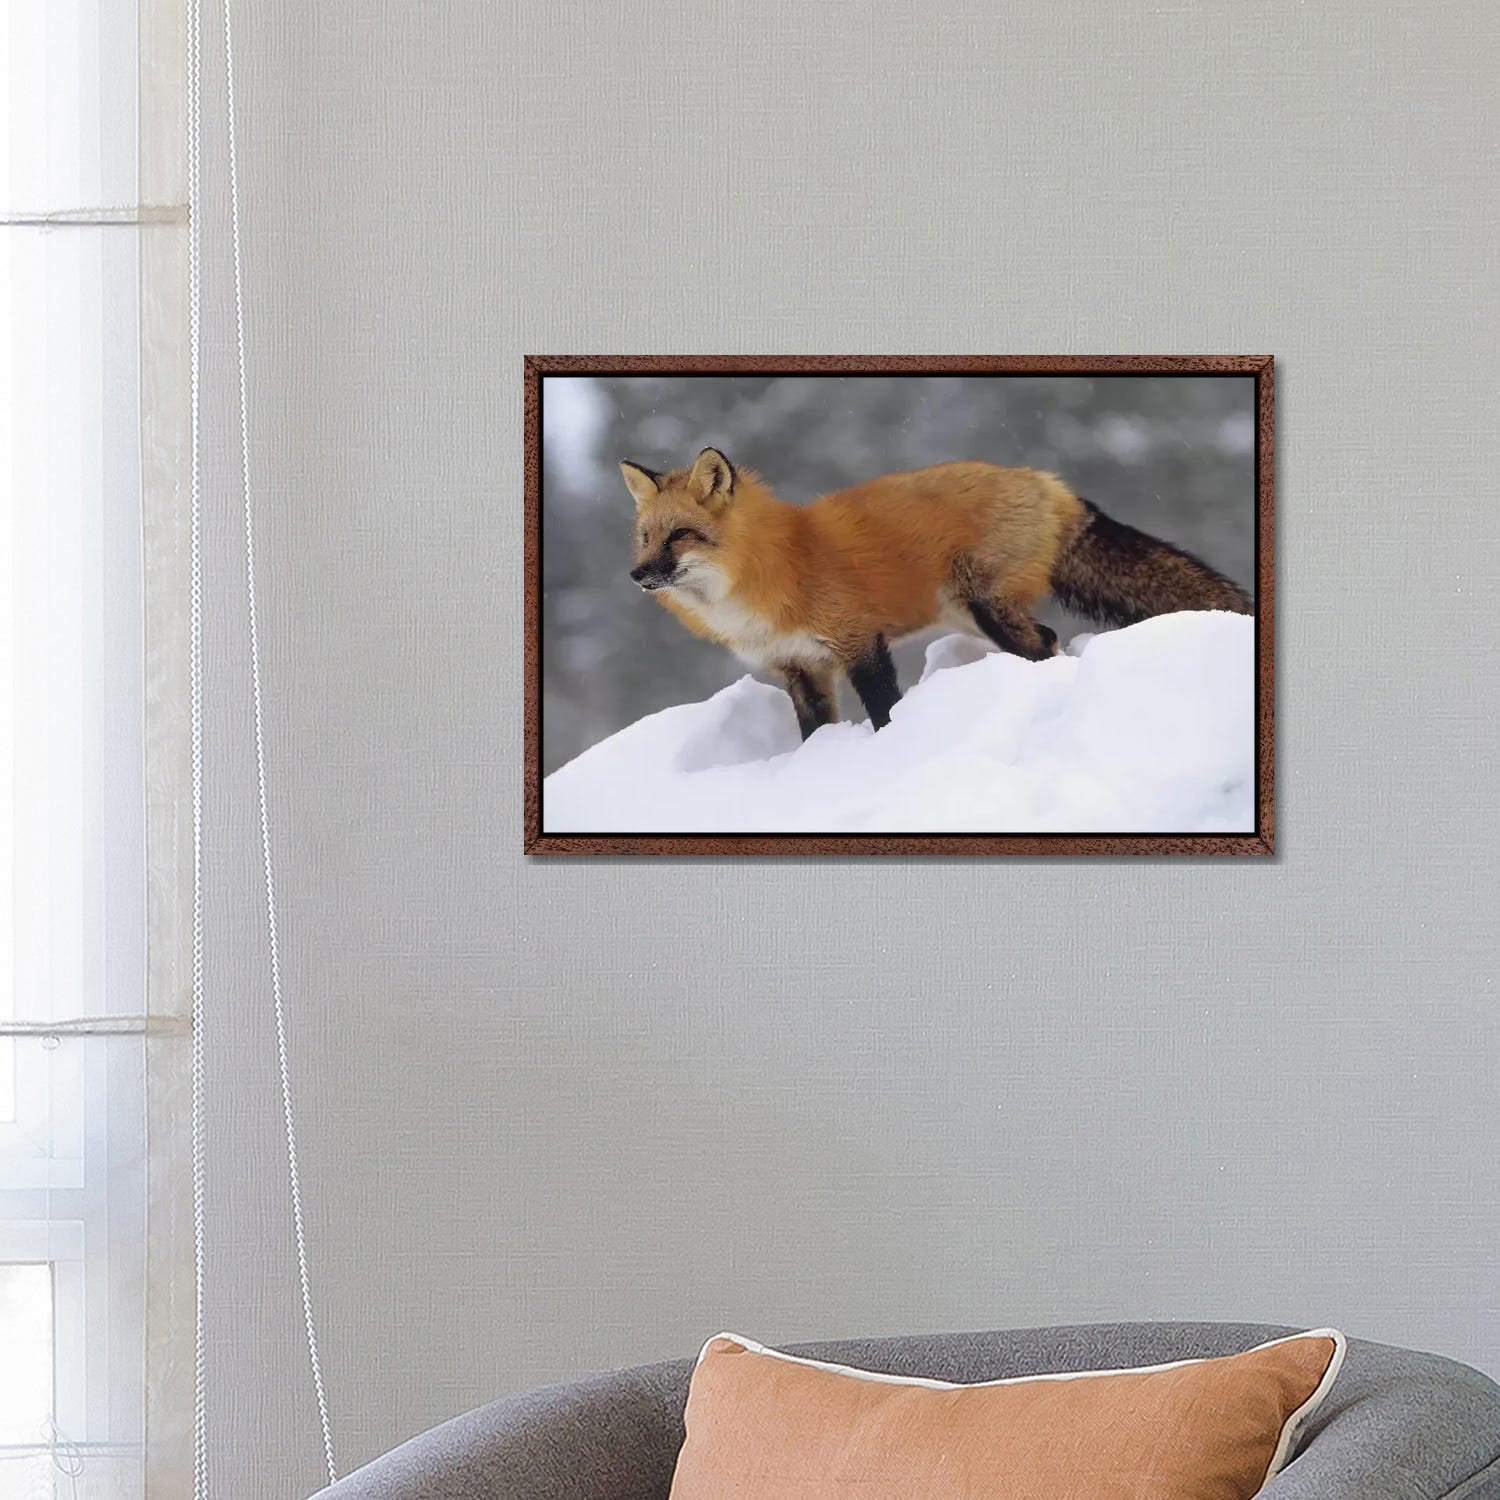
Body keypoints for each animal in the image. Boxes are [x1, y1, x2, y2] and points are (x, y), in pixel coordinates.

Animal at [620, 447, 1251, 740]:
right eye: (647, 537)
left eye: (681, 536)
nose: (637, 575)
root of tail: (1045, 480)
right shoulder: (799, 667)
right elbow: (813, 733)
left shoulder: (858, 640)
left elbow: (883, 708)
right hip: (971, 614)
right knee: (1047, 639)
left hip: (987, 609)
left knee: (1043, 644)